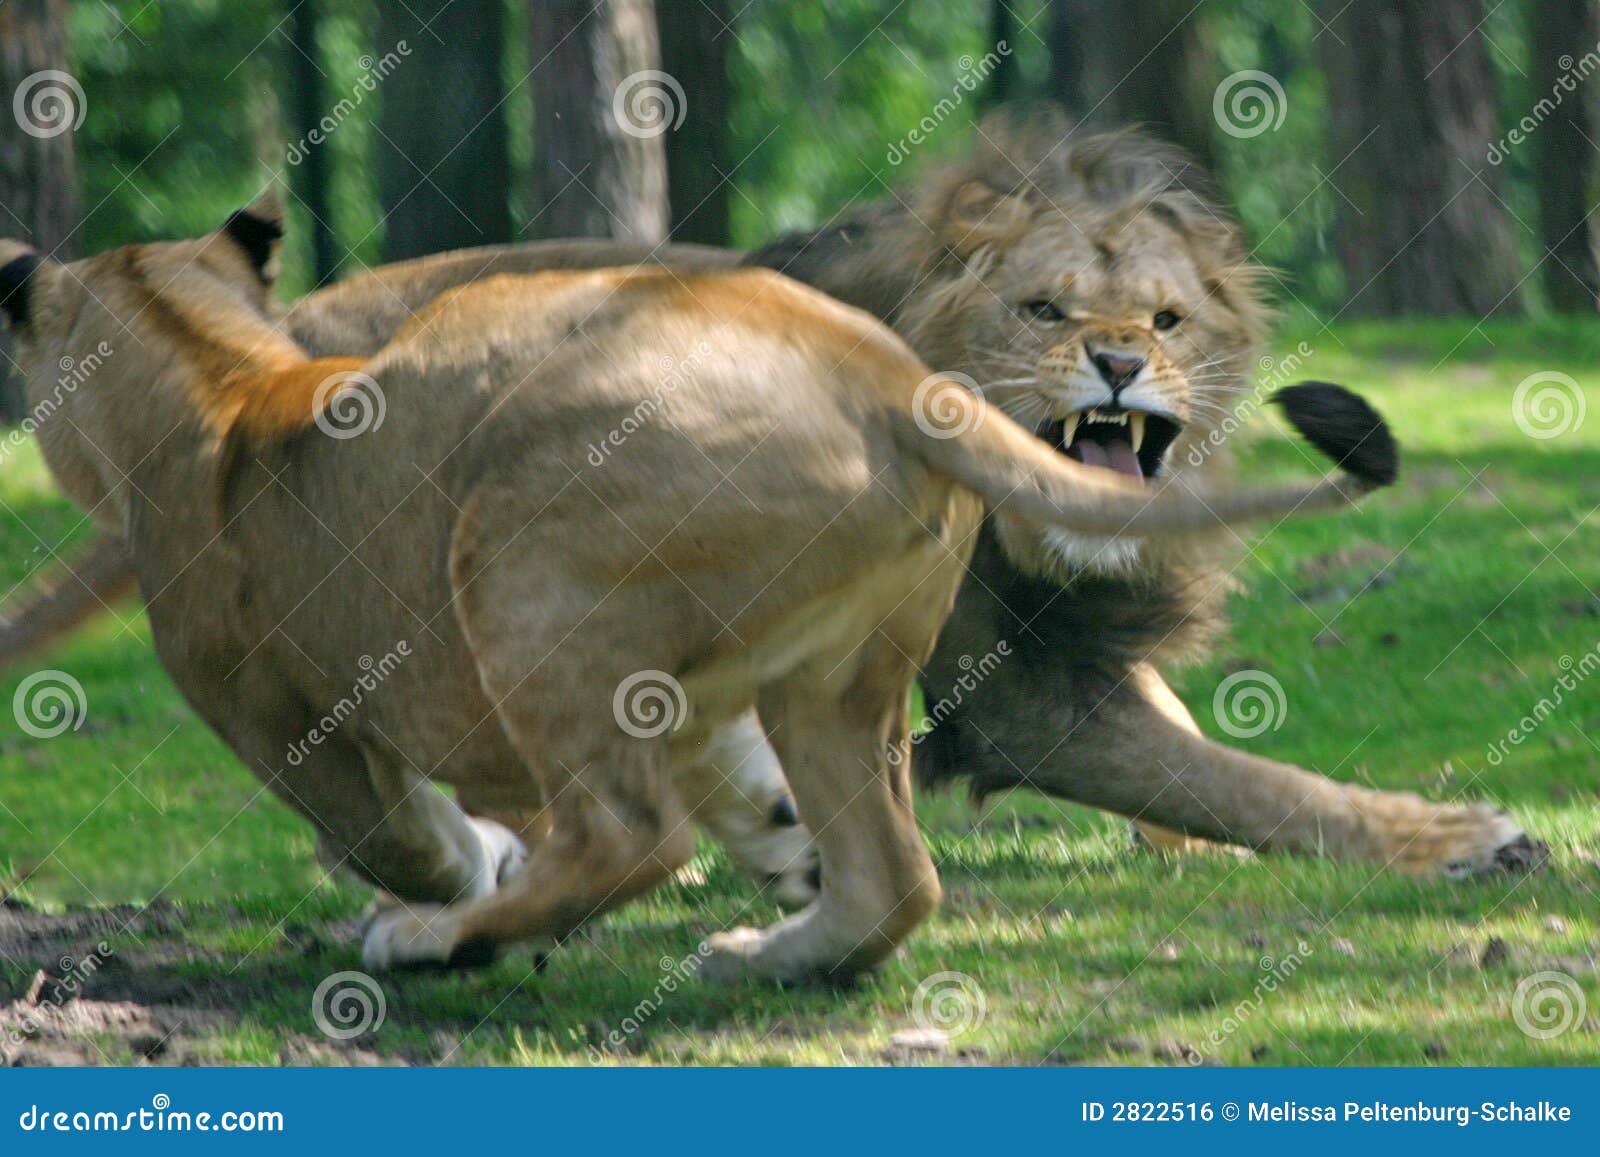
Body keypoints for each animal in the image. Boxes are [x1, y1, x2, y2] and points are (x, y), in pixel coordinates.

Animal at [1, 122, 1542, 880]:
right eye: (1046, 309)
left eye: (1166, 319)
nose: (1116, 363)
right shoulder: (1014, 685)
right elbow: (1250, 778)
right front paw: (1461, 837)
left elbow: (1195, 750)